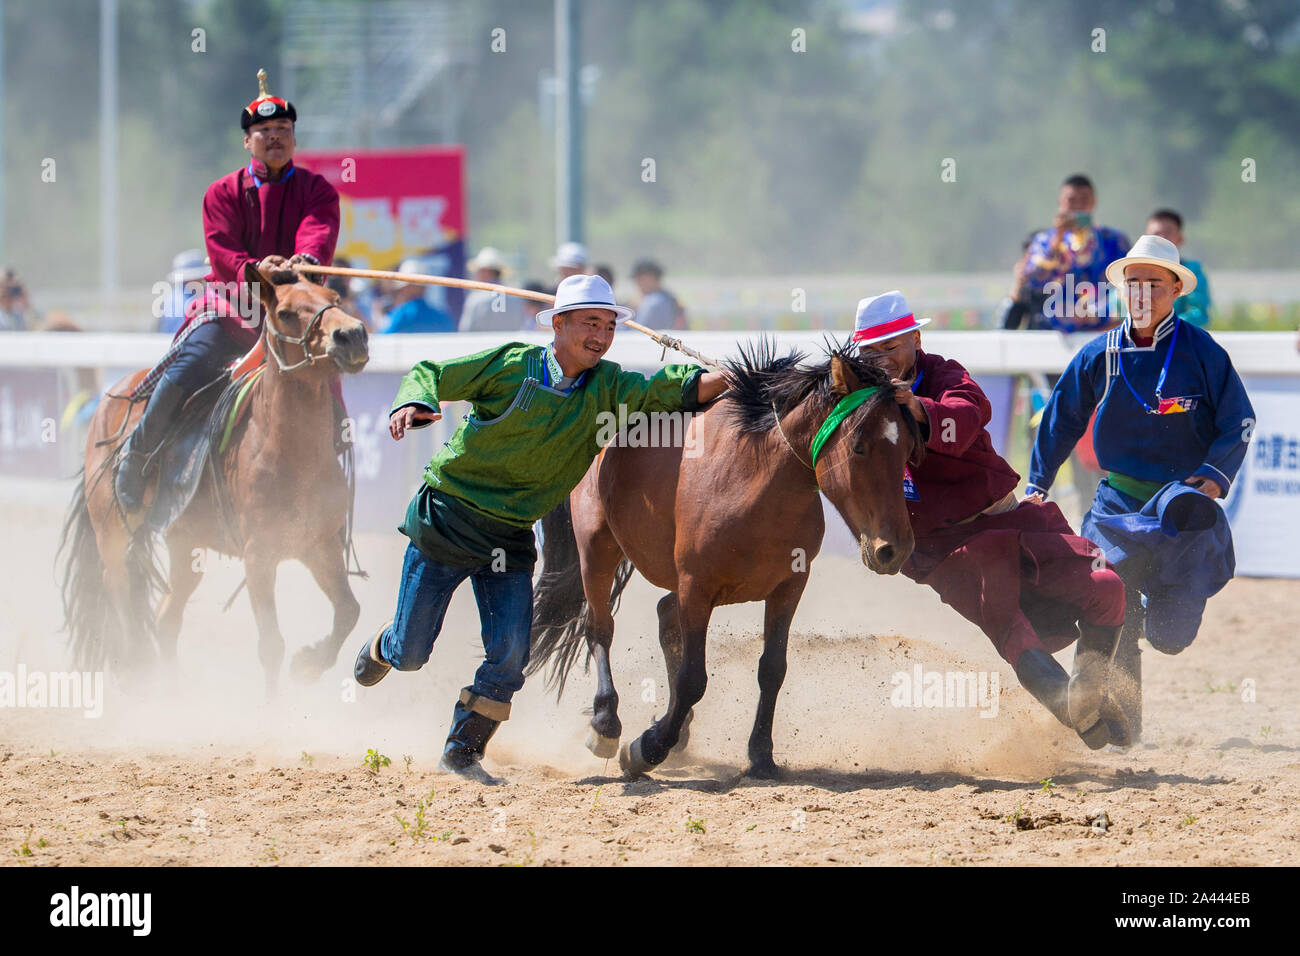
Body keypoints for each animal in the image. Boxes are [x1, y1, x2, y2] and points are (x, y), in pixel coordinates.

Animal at [58, 262, 371, 695]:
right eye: (286, 312)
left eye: (335, 299)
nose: (352, 335)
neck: (285, 448)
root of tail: (114, 394)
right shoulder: (259, 556)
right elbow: (270, 644)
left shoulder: (319, 546)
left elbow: (348, 611)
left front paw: (308, 664)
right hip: (113, 531)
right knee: (116, 583)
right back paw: (136, 668)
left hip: (184, 544)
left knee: (165, 617)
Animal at [528, 339, 924, 779]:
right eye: (858, 447)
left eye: (909, 449)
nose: (895, 550)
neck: (753, 479)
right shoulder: (696, 586)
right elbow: (692, 679)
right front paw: (648, 747)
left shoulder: (789, 586)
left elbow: (772, 669)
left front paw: (761, 754)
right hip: (596, 548)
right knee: (600, 628)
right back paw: (606, 723)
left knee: (664, 616)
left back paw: (677, 729)